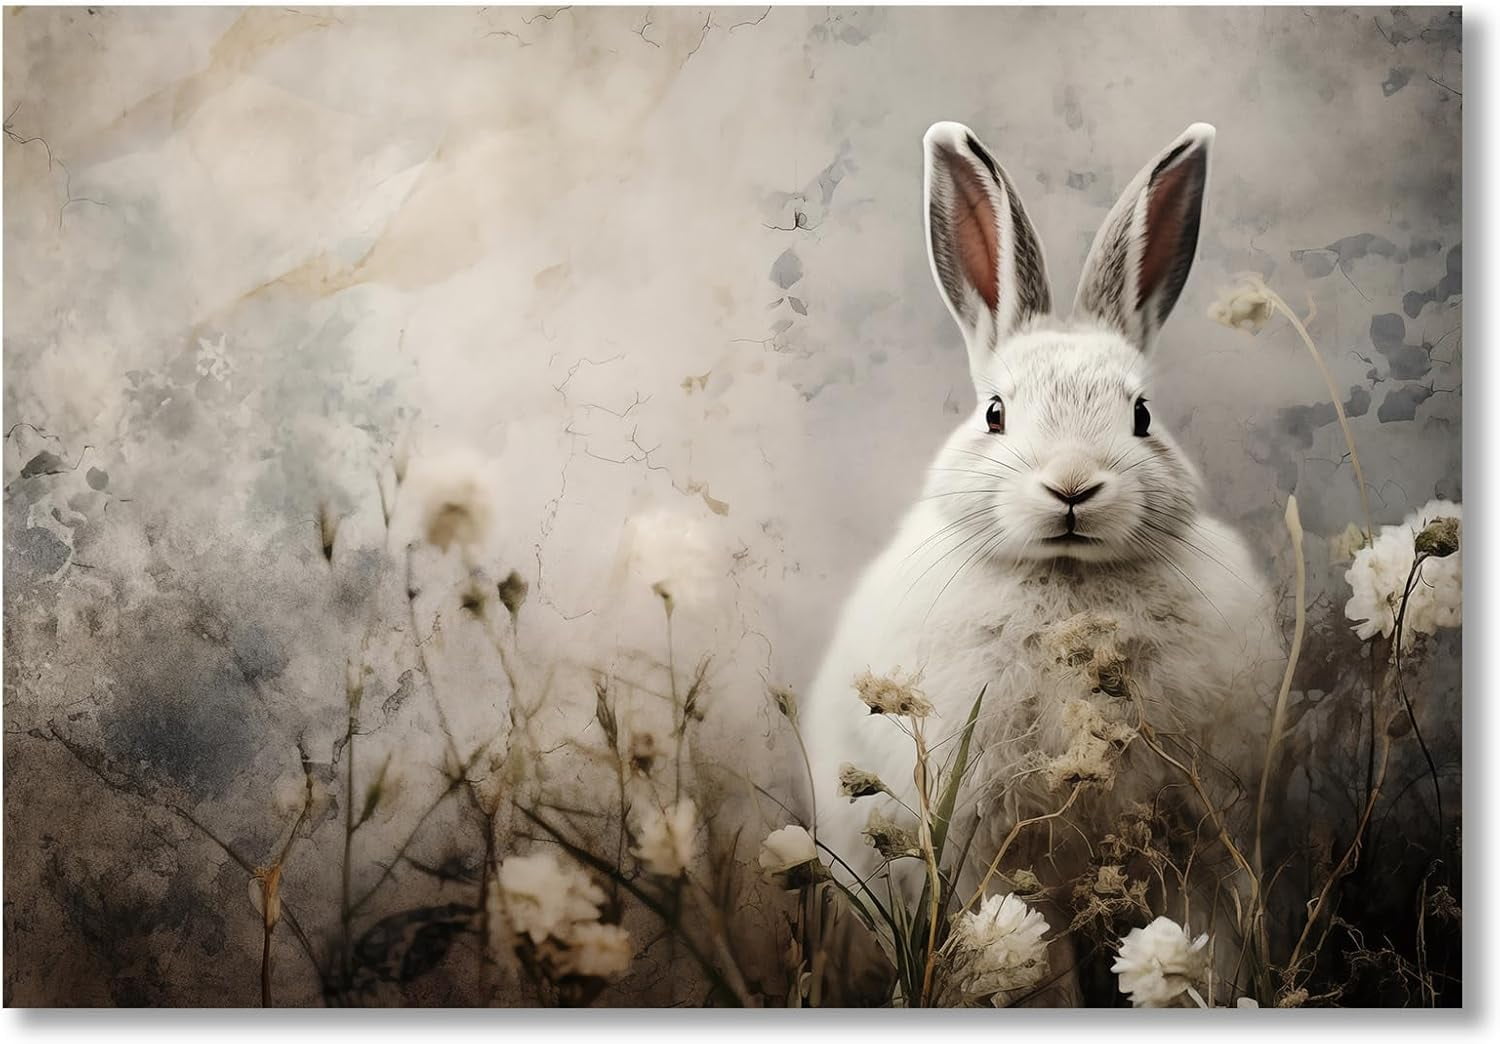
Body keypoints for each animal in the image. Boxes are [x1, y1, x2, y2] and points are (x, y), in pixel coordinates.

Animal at [803, 121, 1285, 967]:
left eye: (1142, 415)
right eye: (995, 412)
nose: (1071, 486)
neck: (1068, 578)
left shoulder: (1202, 841)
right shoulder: (990, 856)